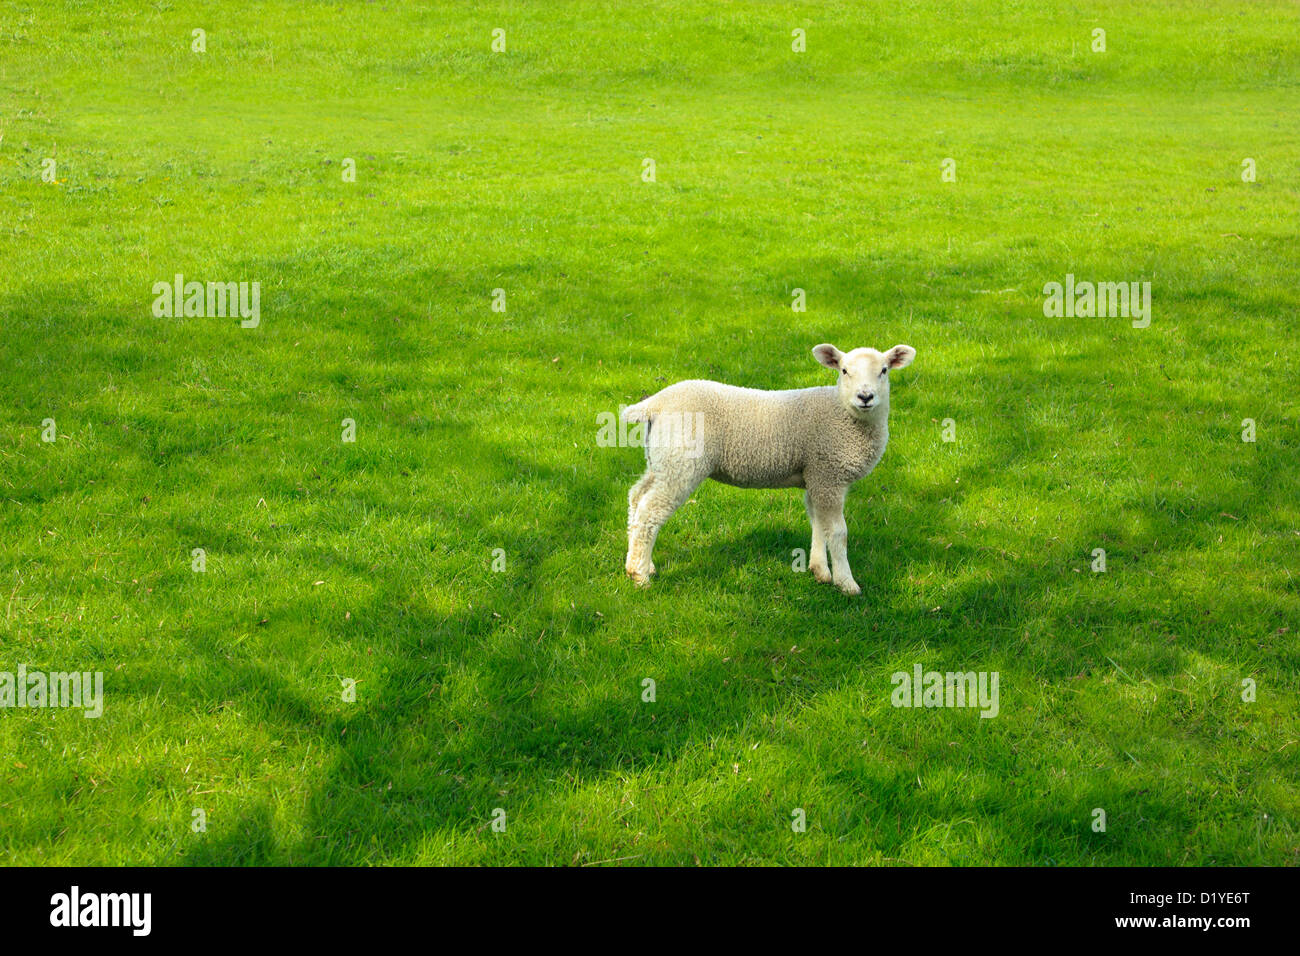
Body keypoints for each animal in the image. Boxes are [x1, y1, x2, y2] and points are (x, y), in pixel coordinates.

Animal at [621, 342, 916, 595]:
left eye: (884, 370)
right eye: (844, 370)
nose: (865, 396)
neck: (841, 413)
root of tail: (655, 403)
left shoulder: (816, 475)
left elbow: (818, 523)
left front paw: (819, 569)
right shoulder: (828, 475)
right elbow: (838, 533)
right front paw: (846, 583)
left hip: (662, 459)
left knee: (636, 498)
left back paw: (639, 563)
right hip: (681, 462)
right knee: (650, 512)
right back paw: (640, 576)